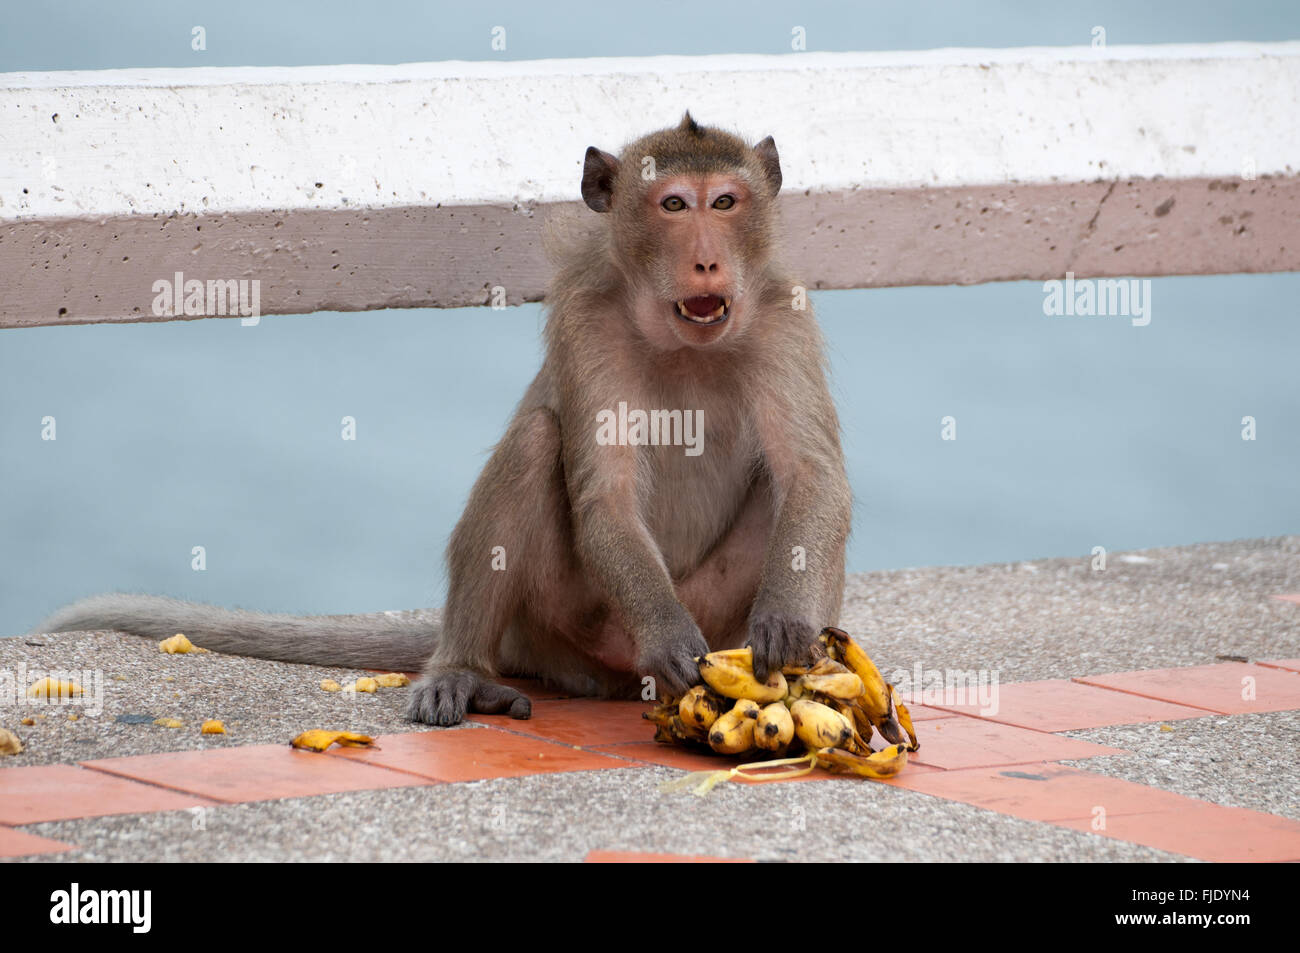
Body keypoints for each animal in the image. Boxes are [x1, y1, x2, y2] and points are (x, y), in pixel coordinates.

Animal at [35, 113, 853, 727]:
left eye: (726, 203)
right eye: (674, 205)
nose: (708, 263)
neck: (683, 338)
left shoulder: (783, 318)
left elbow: (814, 477)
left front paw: (786, 624)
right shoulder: (588, 325)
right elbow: (606, 498)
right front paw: (669, 634)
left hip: (711, 613)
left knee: (788, 489)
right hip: (562, 628)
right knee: (536, 443)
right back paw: (464, 670)